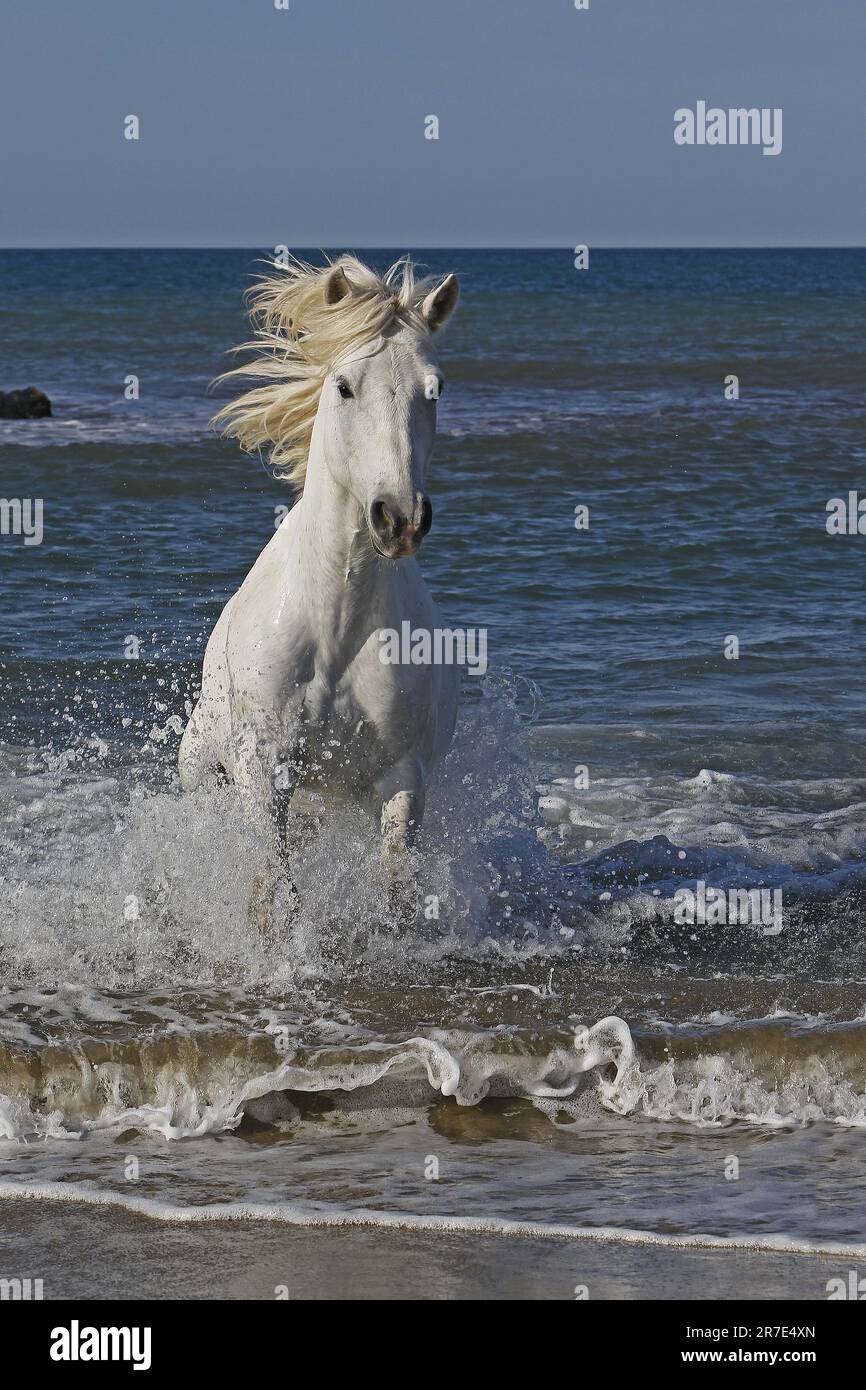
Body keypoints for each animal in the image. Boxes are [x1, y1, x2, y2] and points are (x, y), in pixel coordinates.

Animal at [178, 255, 461, 919]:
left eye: (434, 389)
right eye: (344, 387)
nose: (399, 518)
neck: (336, 628)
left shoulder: (402, 773)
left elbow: (396, 881)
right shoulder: (265, 770)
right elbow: (274, 894)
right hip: (201, 763)